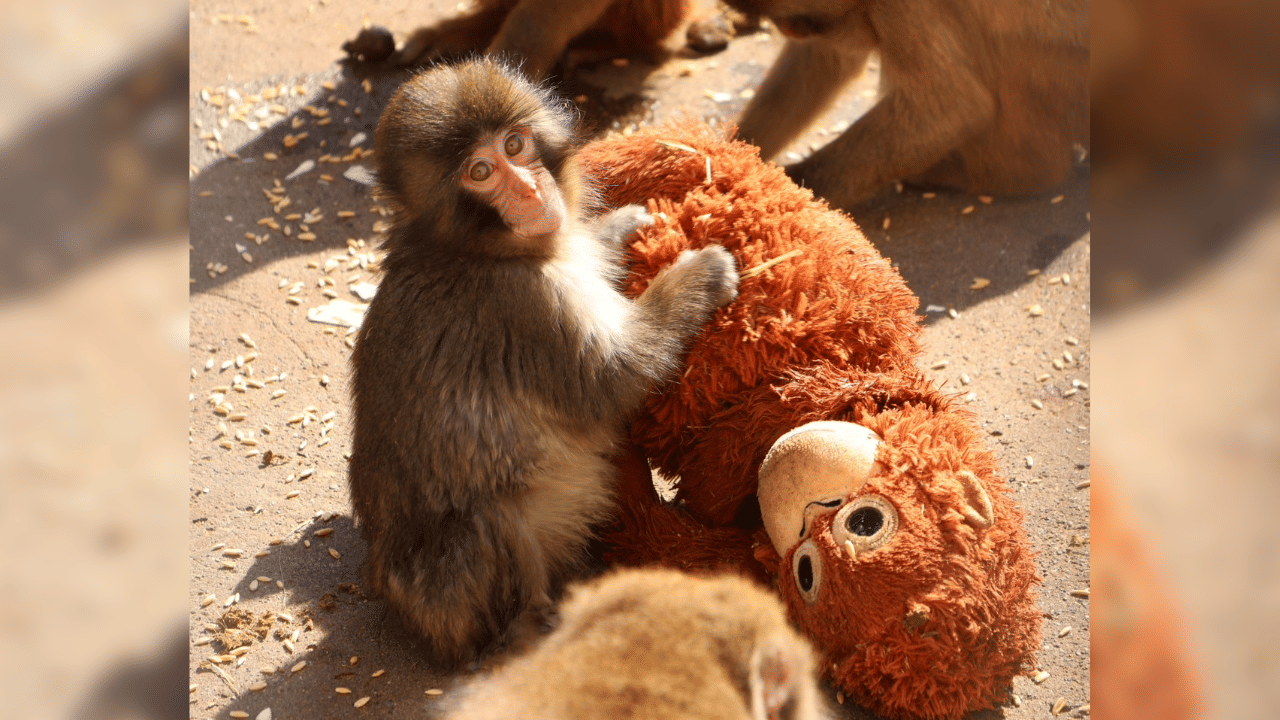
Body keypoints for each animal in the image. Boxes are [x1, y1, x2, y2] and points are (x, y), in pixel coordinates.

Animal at [348, 58, 739, 668]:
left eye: (516, 144)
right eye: (481, 171)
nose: (531, 190)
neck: (473, 250)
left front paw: (616, 228)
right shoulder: (526, 305)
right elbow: (614, 378)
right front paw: (698, 276)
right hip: (451, 595)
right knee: (489, 521)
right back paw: (533, 628)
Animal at [727, 0, 1089, 208]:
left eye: (792, 19)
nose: (787, 29)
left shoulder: (902, 5)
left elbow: (952, 107)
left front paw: (785, 194)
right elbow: (828, 58)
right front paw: (733, 151)